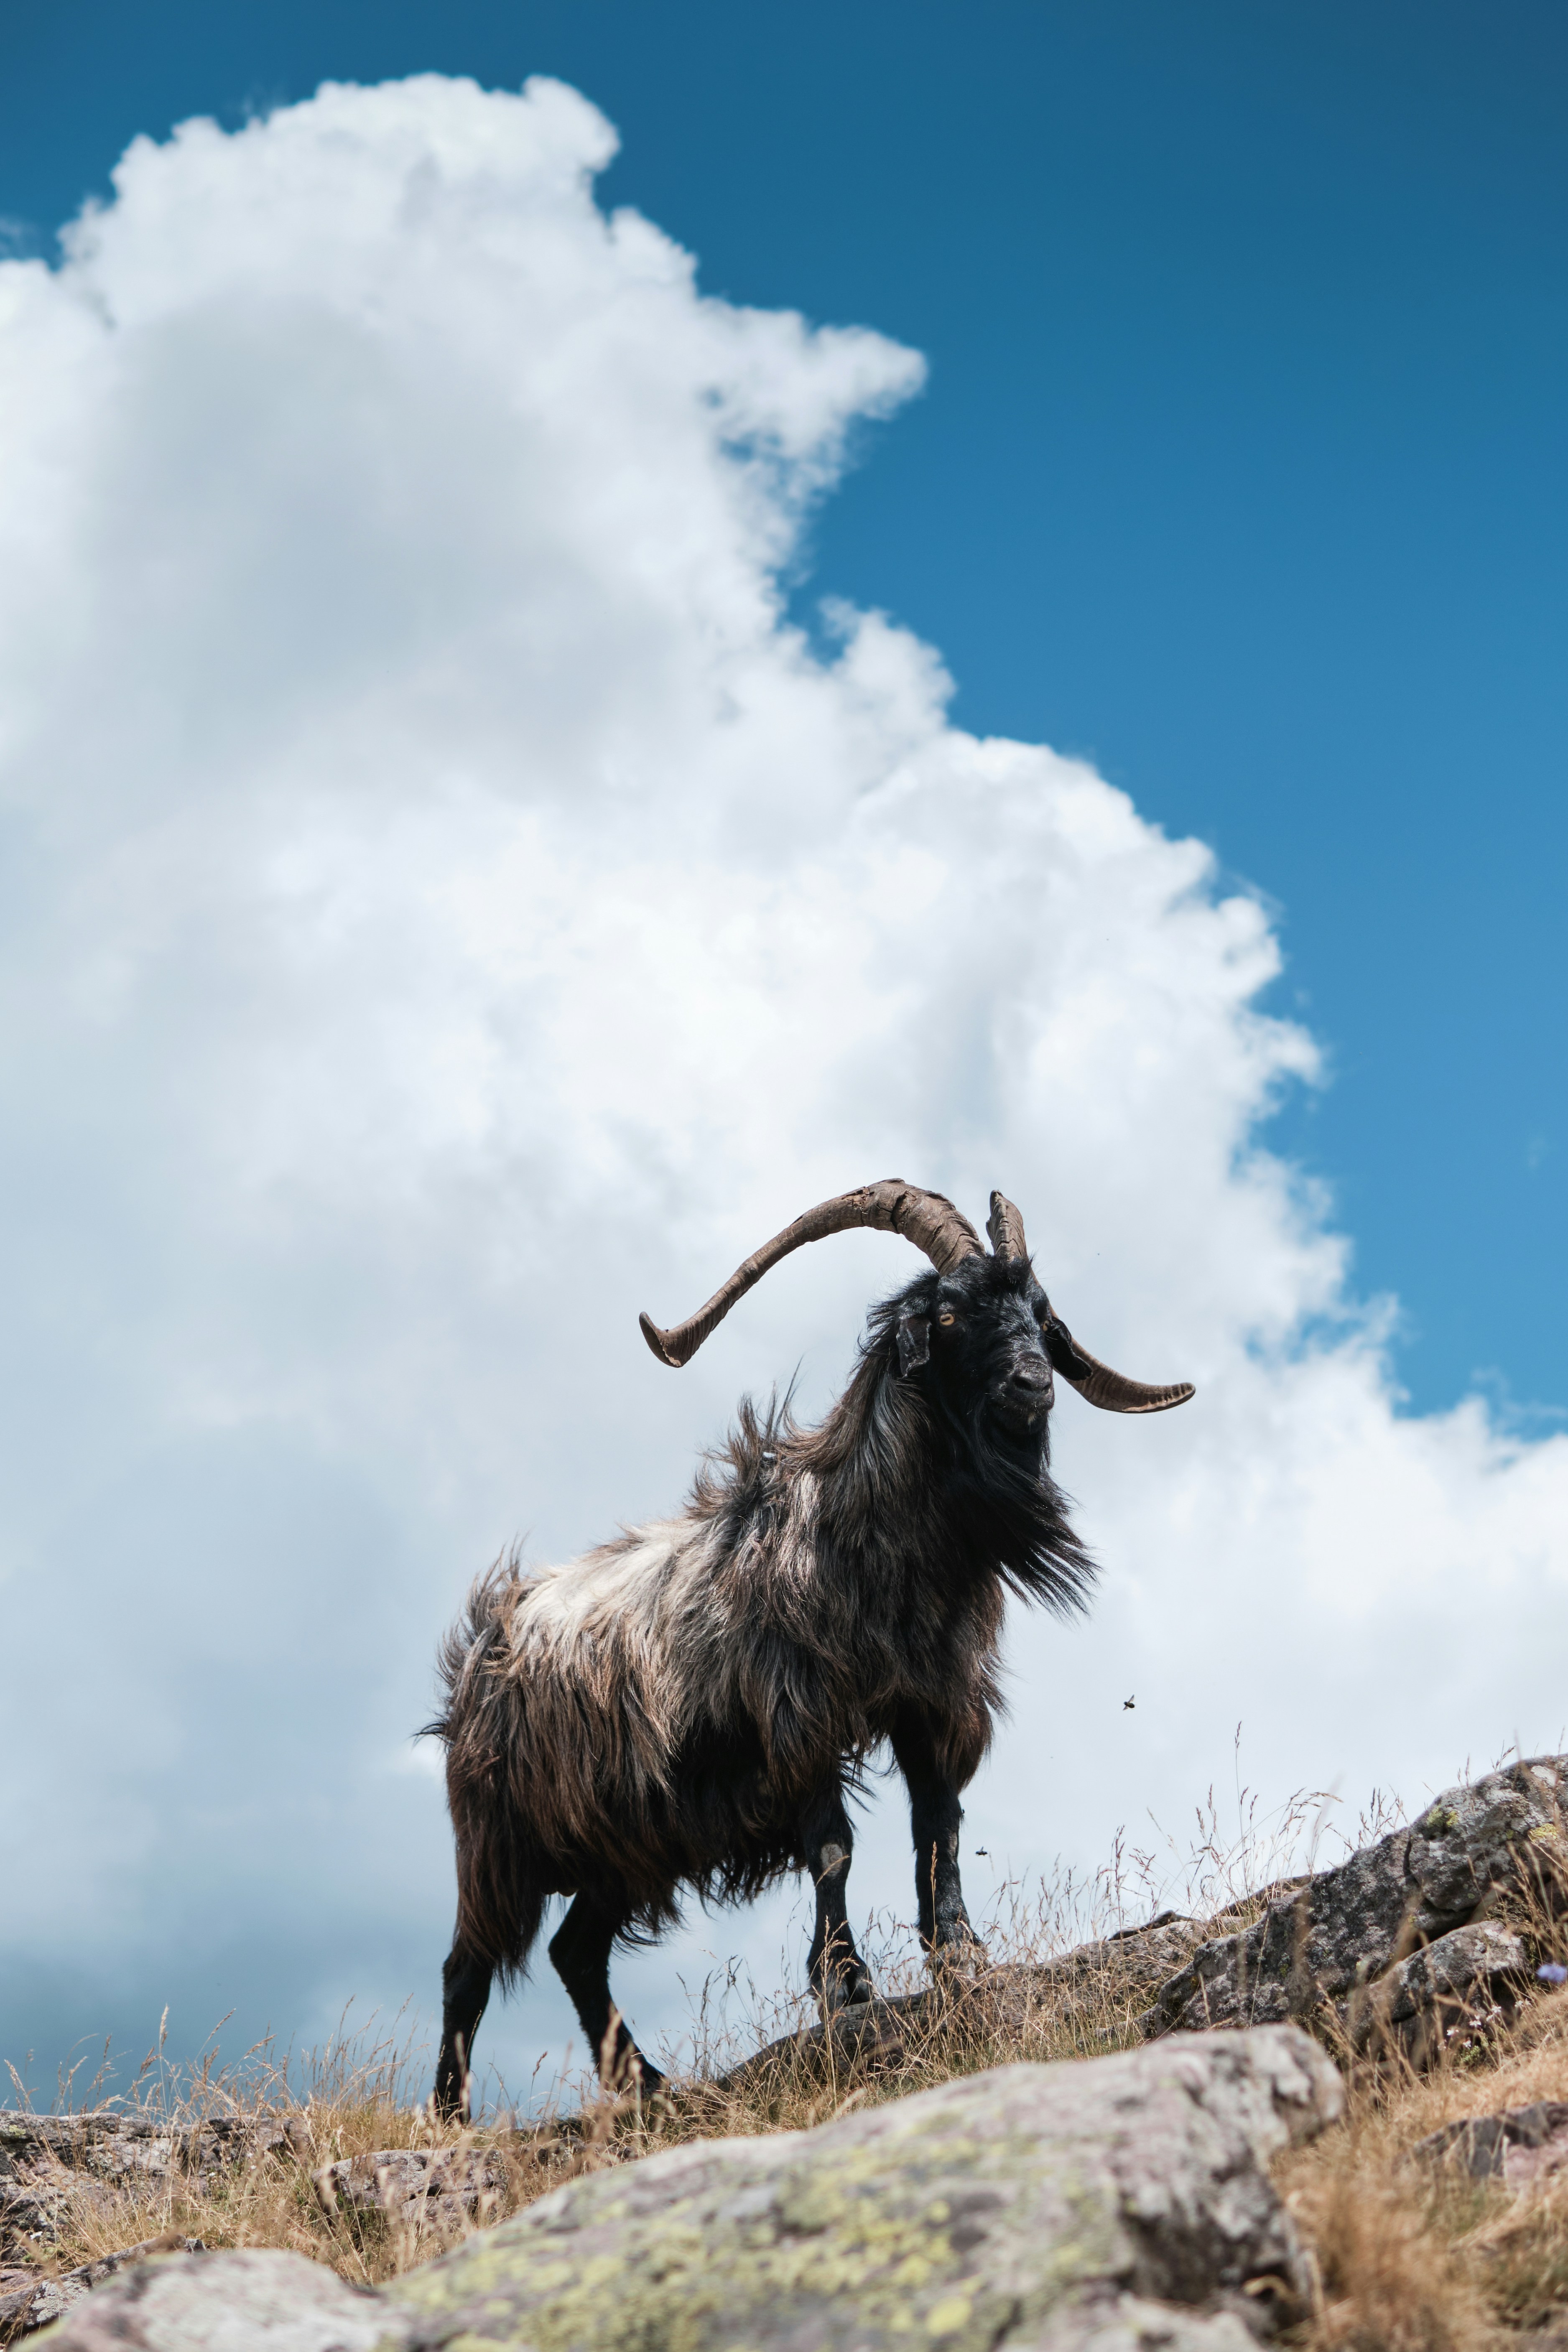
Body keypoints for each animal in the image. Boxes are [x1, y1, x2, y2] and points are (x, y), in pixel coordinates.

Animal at [430, 1180, 1192, 2114]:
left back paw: (649, 2084)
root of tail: (483, 1647)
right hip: (497, 1839)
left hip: (624, 1842)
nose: (1032, 1384)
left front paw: (960, 1955)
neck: (866, 1534)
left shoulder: (935, 1703)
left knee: (576, 1950)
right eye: (947, 1311)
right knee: (467, 1968)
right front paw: (844, 1982)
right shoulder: (798, 1717)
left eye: (1040, 1313)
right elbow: (833, 1843)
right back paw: (454, 2113)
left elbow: (938, 1825)